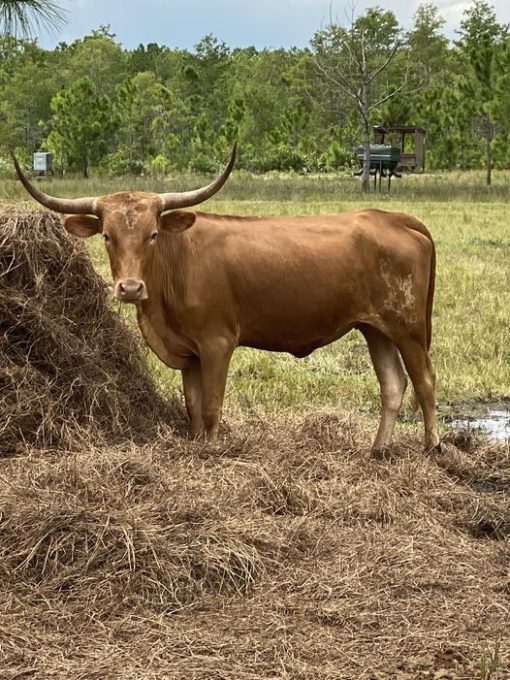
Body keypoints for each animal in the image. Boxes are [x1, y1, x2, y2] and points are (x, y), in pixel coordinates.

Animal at [12, 148, 440, 453]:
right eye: (107, 236)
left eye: (153, 234)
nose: (130, 288)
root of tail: (392, 217)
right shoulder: (189, 354)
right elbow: (193, 409)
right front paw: (196, 446)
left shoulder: (217, 343)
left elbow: (211, 407)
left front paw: (213, 451)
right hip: (375, 328)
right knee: (393, 384)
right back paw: (378, 450)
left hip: (408, 327)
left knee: (424, 380)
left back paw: (431, 446)